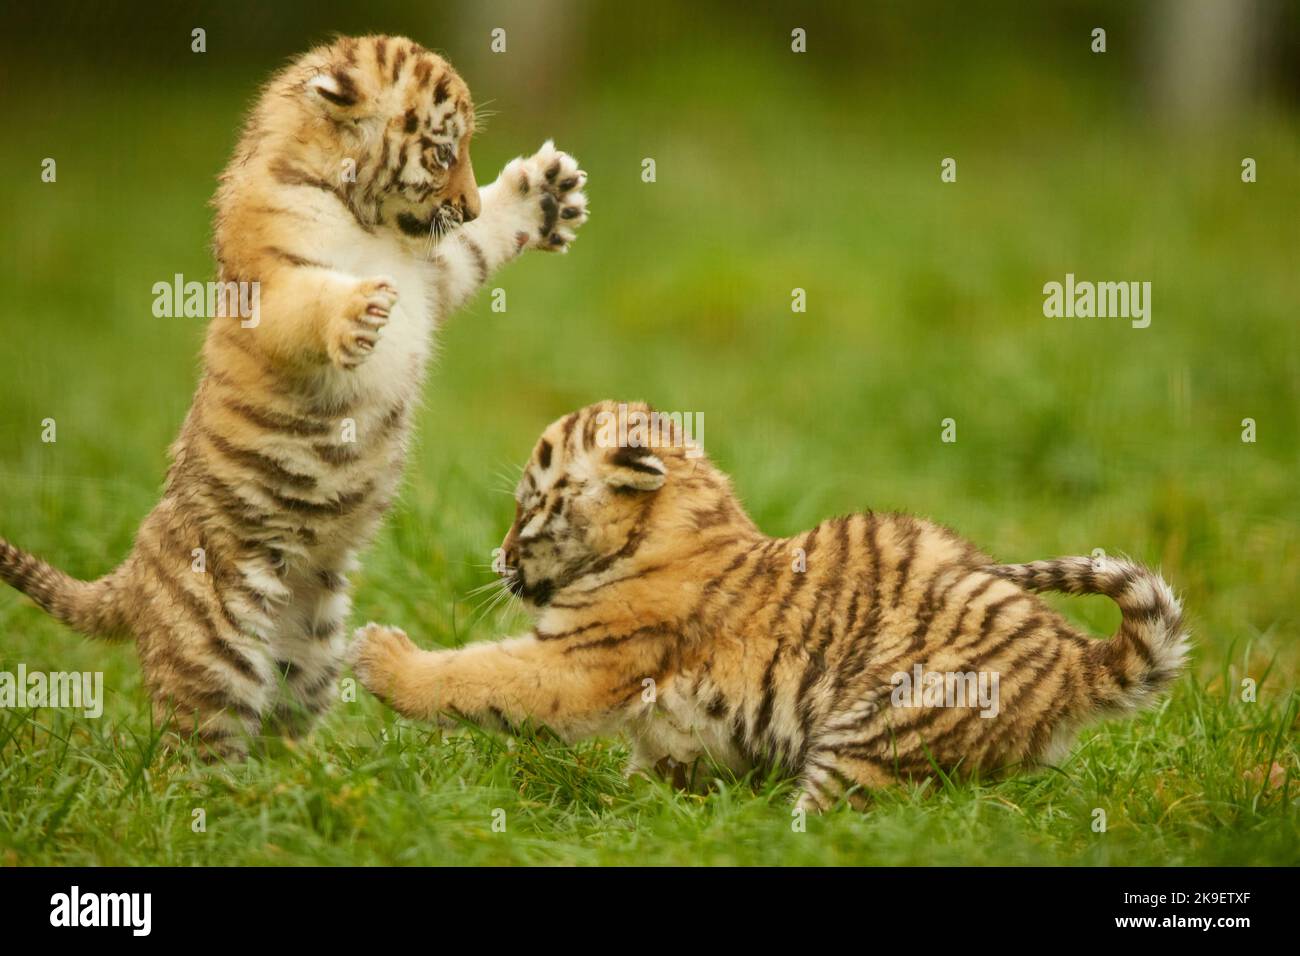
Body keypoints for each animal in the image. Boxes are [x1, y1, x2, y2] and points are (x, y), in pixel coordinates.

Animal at [0, 35, 589, 758]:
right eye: (441, 154)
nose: (471, 205)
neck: (365, 216)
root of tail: (133, 572)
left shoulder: (432, 271)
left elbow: (473, 249)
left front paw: (544, 194)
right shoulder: (274, 281)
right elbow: (308, 306)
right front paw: (357, 311)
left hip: (311, 648)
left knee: (277, 733)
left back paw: (310, 779)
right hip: (213, 651)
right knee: (190, 752)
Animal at [350, 400, 1190, 810]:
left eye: (530, 506)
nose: (499, 559)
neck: (670, 526)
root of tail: (1075, 661)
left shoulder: (581, 664)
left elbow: (477, 676)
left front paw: (379, 656)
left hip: (876, 736)